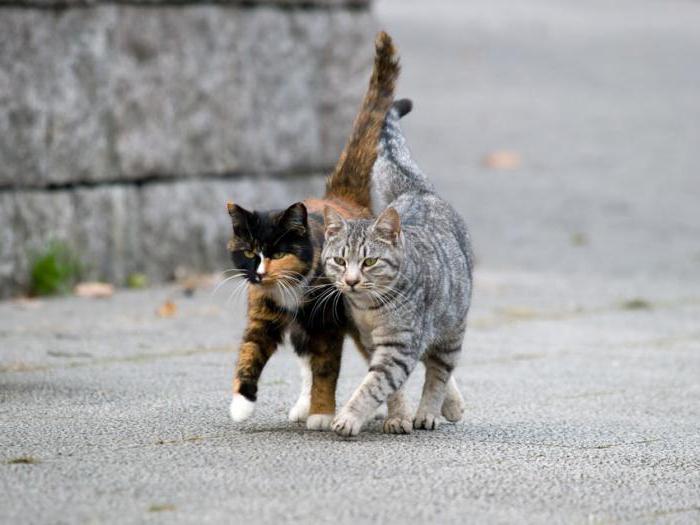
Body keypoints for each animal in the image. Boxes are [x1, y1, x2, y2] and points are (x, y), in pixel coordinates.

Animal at [227, 31, 402, 430]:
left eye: (277, 252)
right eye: (249, 253)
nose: (259, 273)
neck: (290, 288)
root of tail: (340, 196)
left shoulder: (327, 324)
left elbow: (326, 367)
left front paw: (323, 413)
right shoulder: (262, 313)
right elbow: (250, 351)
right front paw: (241, 403)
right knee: (304, 359)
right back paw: (302, 405)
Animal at [320, 100, 474, 436]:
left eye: (369, 261)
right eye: (340, 261)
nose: (351, 281)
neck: (368, 309)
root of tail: (420, 191)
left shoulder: (398, 345)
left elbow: (374, 385)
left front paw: (349, 417)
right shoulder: (372, 342)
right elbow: (391, 388)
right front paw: (397, 415)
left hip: (451, 326)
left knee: (439, 372)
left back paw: (429, 412)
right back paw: (449, 405)